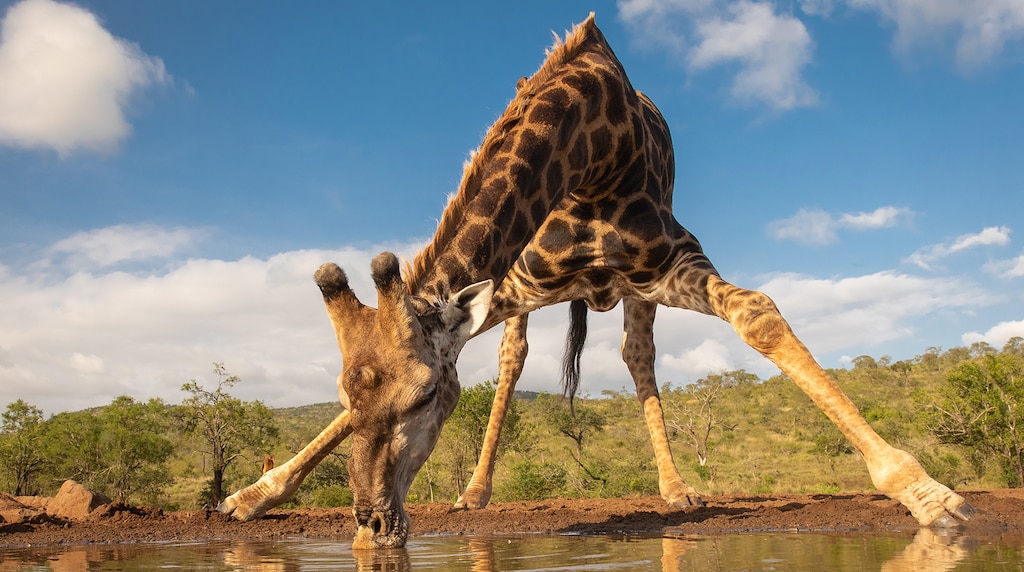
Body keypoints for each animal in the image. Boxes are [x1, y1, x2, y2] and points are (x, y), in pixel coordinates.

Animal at [219, 14, 975, 548]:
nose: (373, 523)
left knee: (637, 354)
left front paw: (925, 492)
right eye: (345, 395)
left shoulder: (671, 260)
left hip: (637, 292)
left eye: (427, 396)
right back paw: (474, 492)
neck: (592, 152)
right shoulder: (513, 285)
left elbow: (757, 313)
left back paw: (676, 489)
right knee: (514, 357)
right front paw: (254, 495)